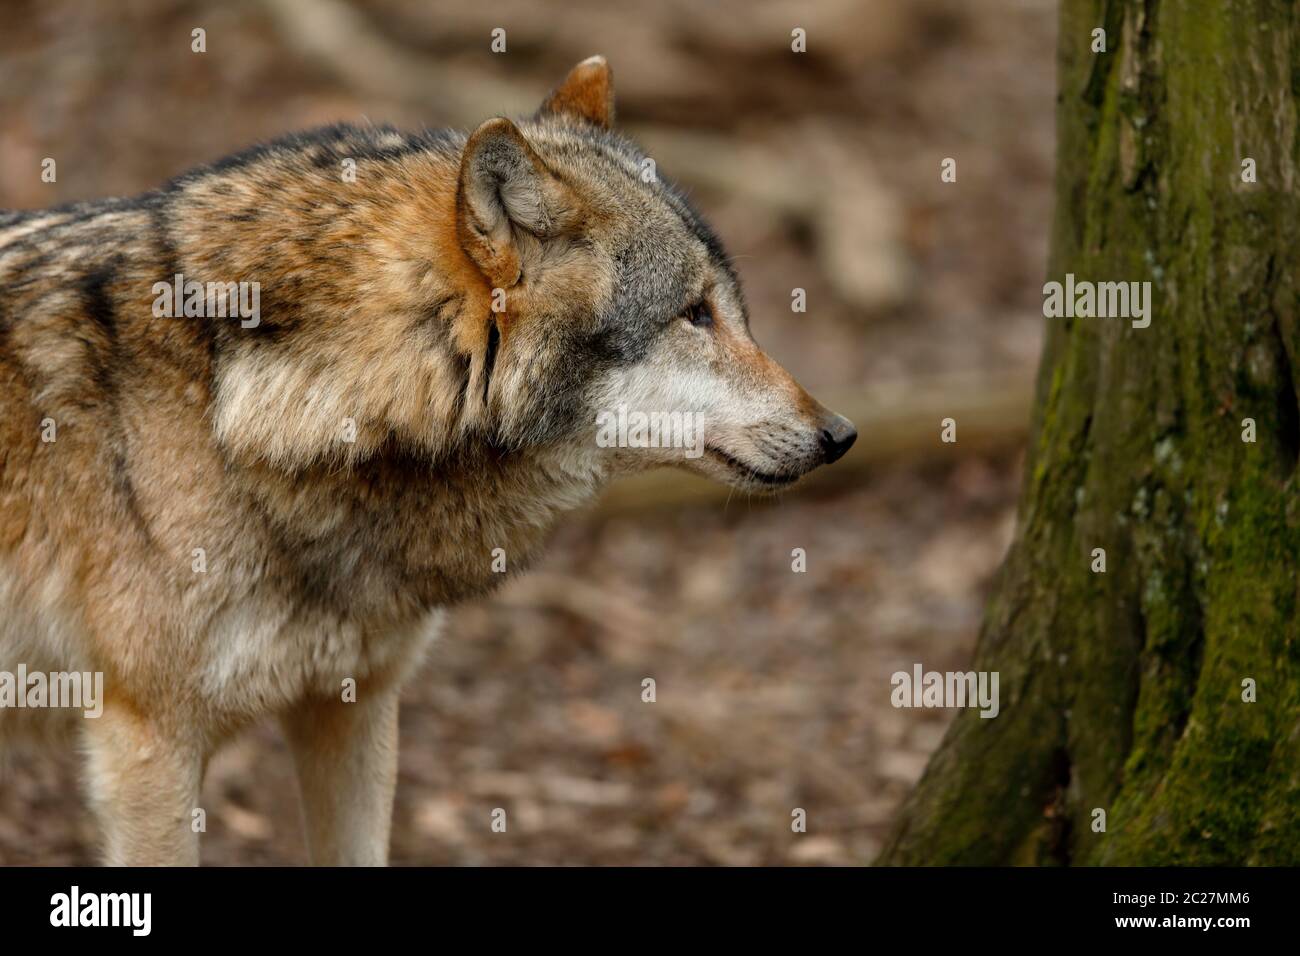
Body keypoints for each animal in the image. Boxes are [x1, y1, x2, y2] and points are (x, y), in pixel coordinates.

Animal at [0, 57, 856, 865]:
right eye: (694, 314)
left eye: (731, 310)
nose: (841, 433)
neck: (237, 396)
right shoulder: (148, 742)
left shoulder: (354, 704)